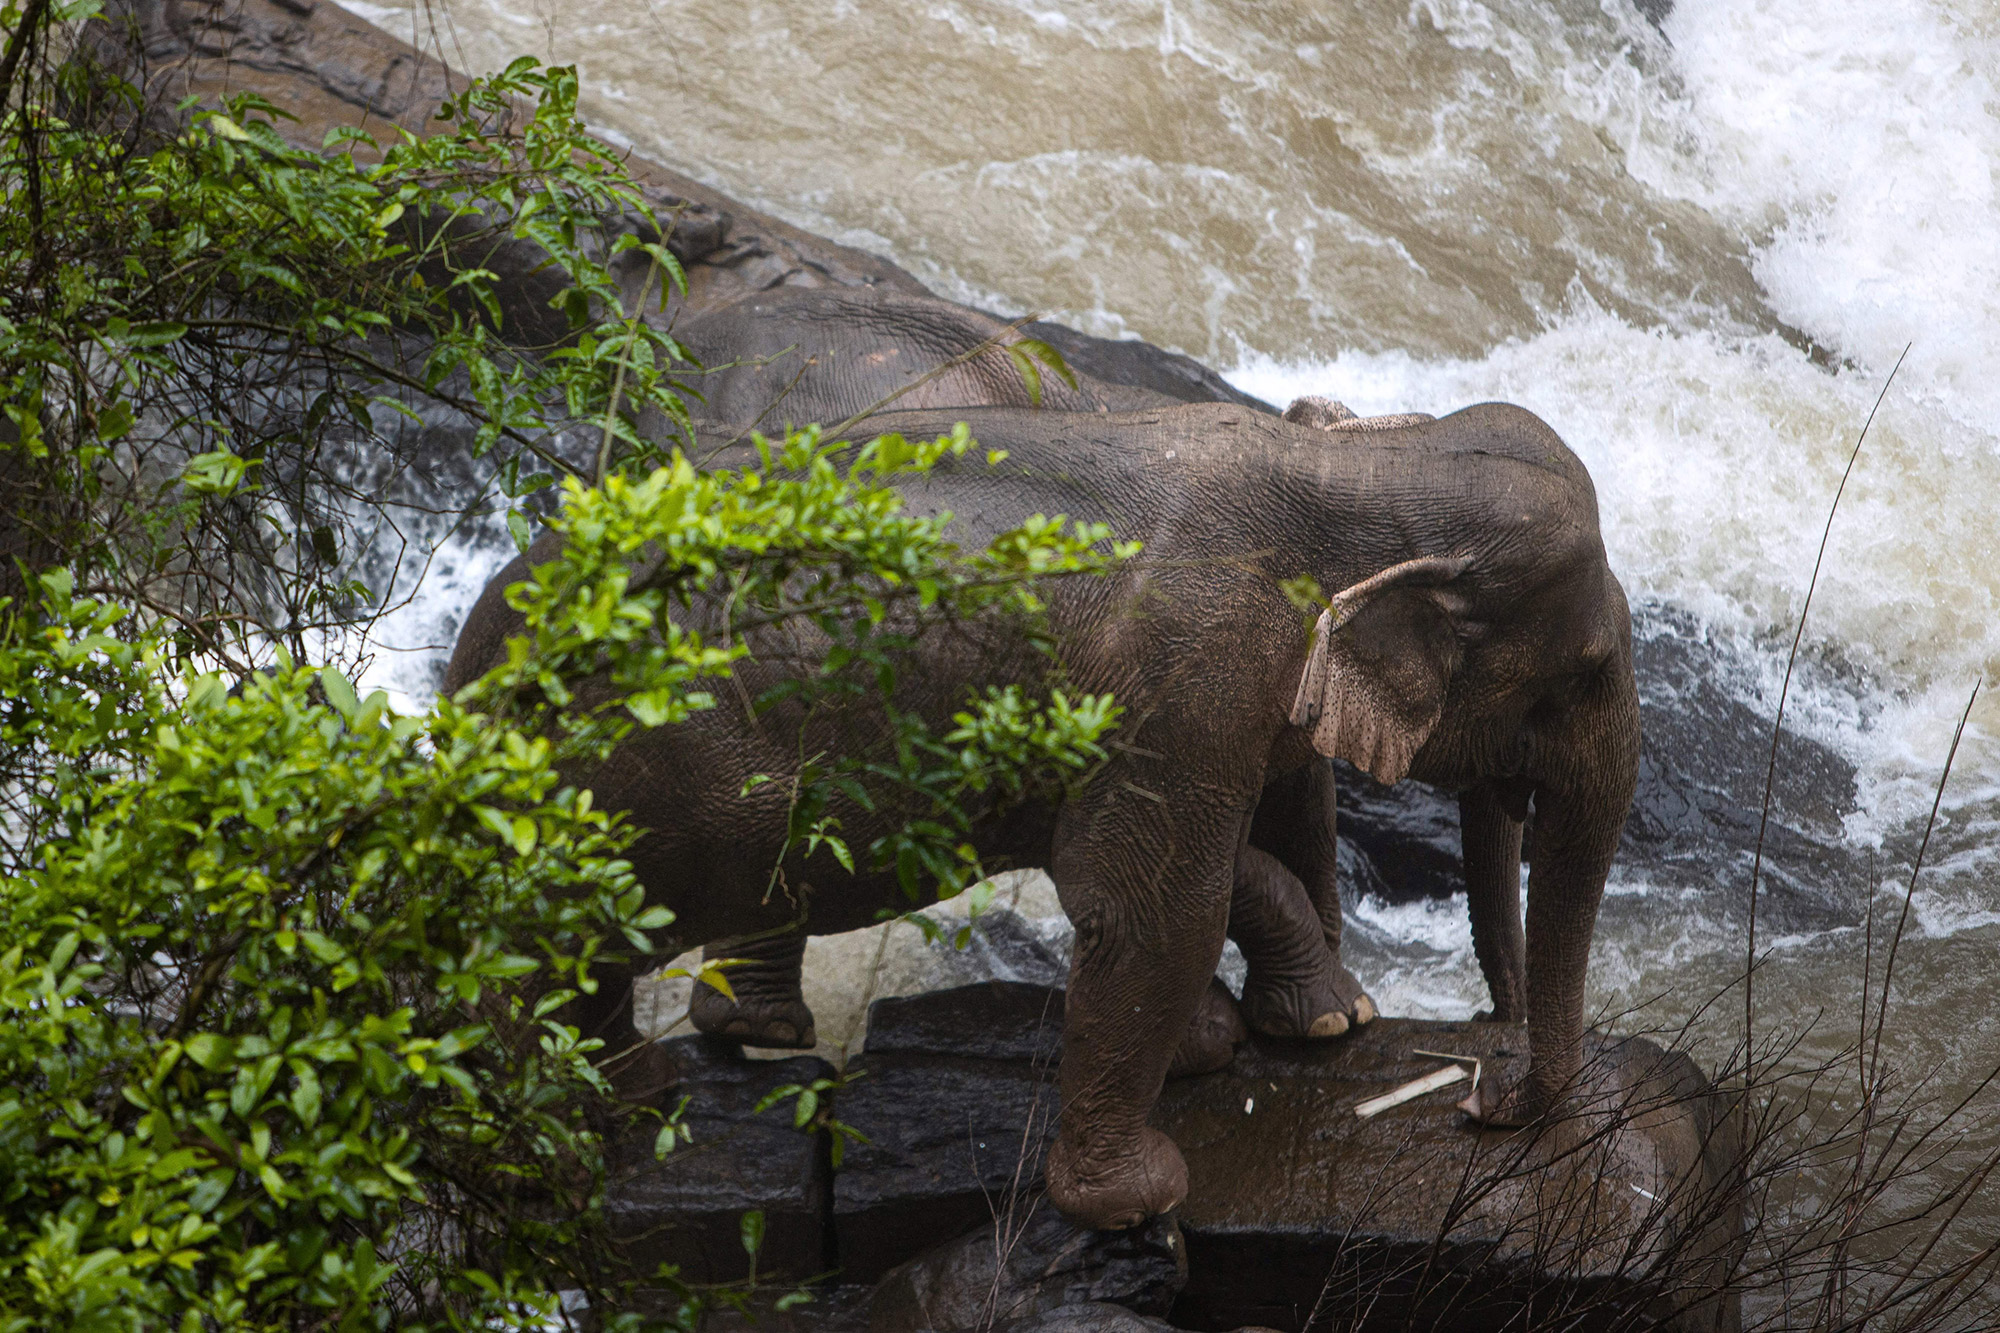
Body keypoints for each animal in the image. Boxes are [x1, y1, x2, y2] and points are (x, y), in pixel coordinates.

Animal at [444, 399, 1641, 1230]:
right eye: (1584, 668)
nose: (1480, 1095)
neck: (1358, 471)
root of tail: (474, 659)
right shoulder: (1188, 672)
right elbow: (1147, 904)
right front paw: (1143, 1196)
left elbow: (1199, 861)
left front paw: (1287, 1029)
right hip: (654, 772)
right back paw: (582, 1125)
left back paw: (667, 1075)